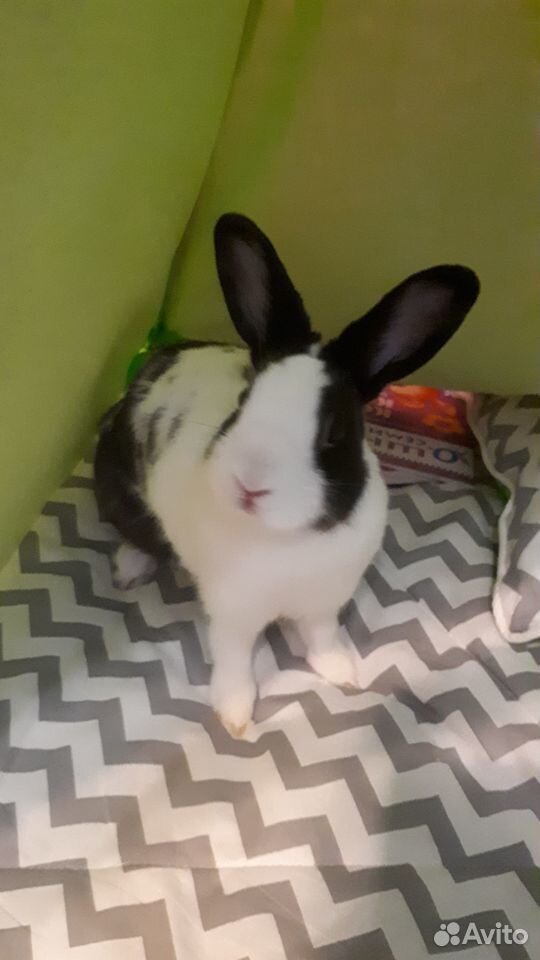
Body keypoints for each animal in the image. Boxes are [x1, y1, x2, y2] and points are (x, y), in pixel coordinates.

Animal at [94, 213, 479, 736]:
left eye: (334, 430)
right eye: (242, 404)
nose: (251, 486)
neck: (288, 538)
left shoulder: (324, 603)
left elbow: (321, 637)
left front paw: (341, 671)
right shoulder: (233, 612)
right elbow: (235, 658)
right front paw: (235, 714)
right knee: (134, 533)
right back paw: (131, 566)